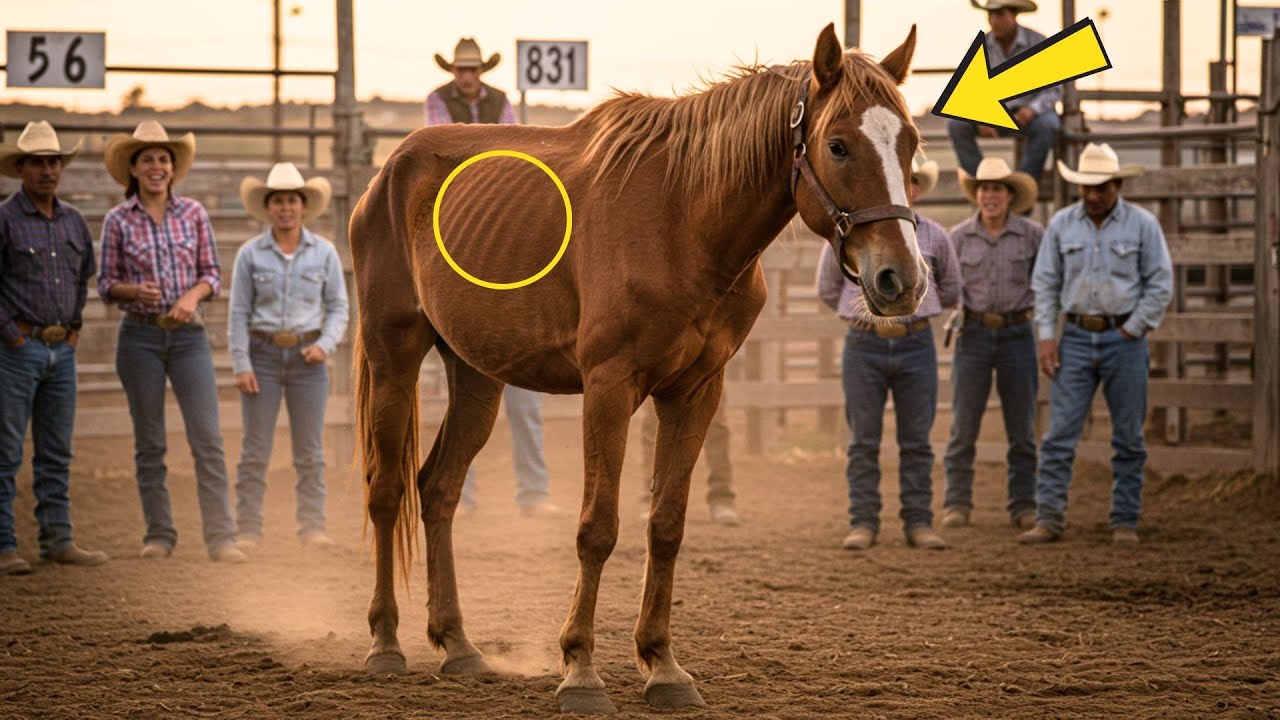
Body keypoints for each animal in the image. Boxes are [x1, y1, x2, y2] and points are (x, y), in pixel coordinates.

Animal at [350, 23, 925, 714]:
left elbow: (666, 525)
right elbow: (598, 528)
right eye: (838, 145)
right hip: (393, 355)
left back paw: (458, 645)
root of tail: (389, 171)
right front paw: (580, 670)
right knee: (386, 491)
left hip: (477, 376)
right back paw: (384, 644)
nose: (901, 279)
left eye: (911, 143)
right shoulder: (609, 387)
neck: (683, 222)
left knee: (437, 490)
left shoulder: (696, 392)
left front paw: (663, 666)